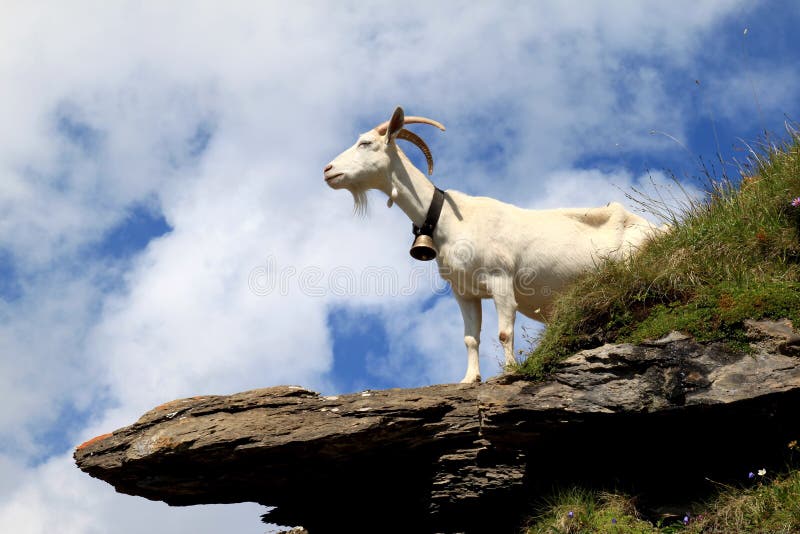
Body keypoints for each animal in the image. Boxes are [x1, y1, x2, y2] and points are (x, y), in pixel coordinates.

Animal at [324, 107, 662, 383]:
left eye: (366, 143)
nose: (328, 171)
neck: (449, 218)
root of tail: (658, 228)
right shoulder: (464, 292)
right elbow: (470, 338)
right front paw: (469, 379)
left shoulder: (501, 280)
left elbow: (503, 332)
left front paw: (509, 372)